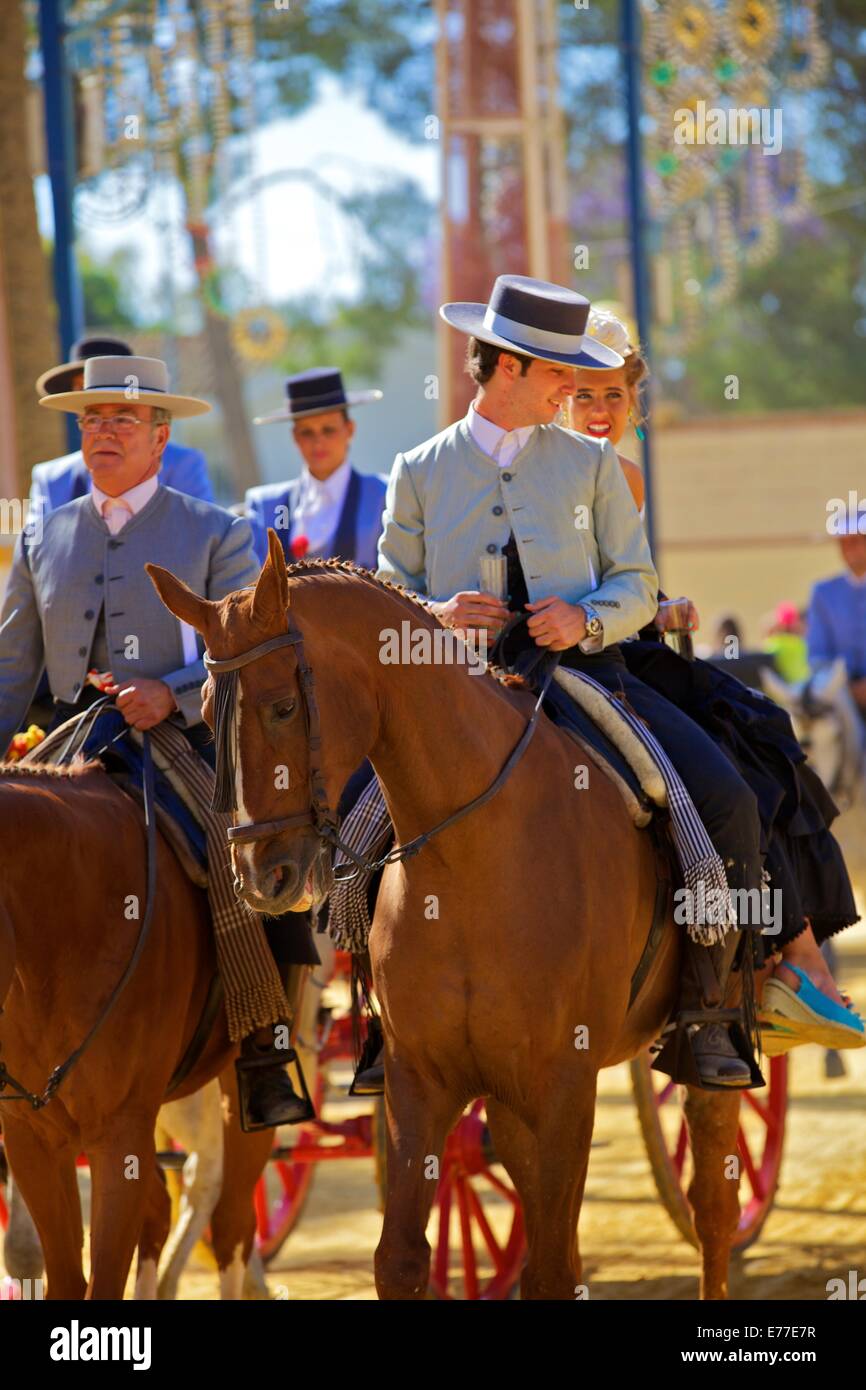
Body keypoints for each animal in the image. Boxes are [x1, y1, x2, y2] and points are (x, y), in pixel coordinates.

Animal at [147, 529, 749, 1301]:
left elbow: (549, 1268)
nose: (259, 875)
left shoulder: (563, 1084)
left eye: (282, 706)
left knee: (713, 1204)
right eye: (205, 707)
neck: (474, 859)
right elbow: (402, 1257)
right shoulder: (421, 1080)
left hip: (695, 1061)